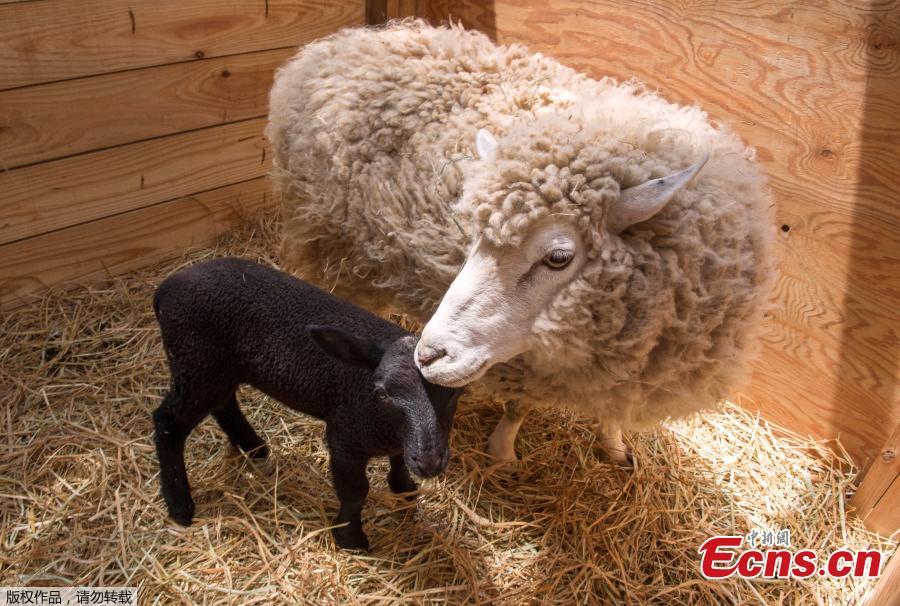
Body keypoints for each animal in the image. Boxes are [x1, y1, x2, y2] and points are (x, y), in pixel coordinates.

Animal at [152, 257, 462, 550]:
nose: (429, 463)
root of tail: (166, 288)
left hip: (215, 368)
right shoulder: (345, 437)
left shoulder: (394, 437)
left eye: (455, 391)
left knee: (223, 404)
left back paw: (255, 448)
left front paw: (404, 490)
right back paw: (179, 504)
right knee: (168, 424)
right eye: (382, 392)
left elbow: (398, 460)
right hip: (196, 360)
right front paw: (350, 539)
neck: (378, 415)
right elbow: (355, 492)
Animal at [267, 20, 776, 466]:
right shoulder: (525, 366)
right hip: (331, 234)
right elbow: (519, 407)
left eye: (558, 257)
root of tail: (336, 44)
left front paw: (614, 445)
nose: (428, 356)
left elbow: (613, 411)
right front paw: (503, 453)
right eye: (471, 236)